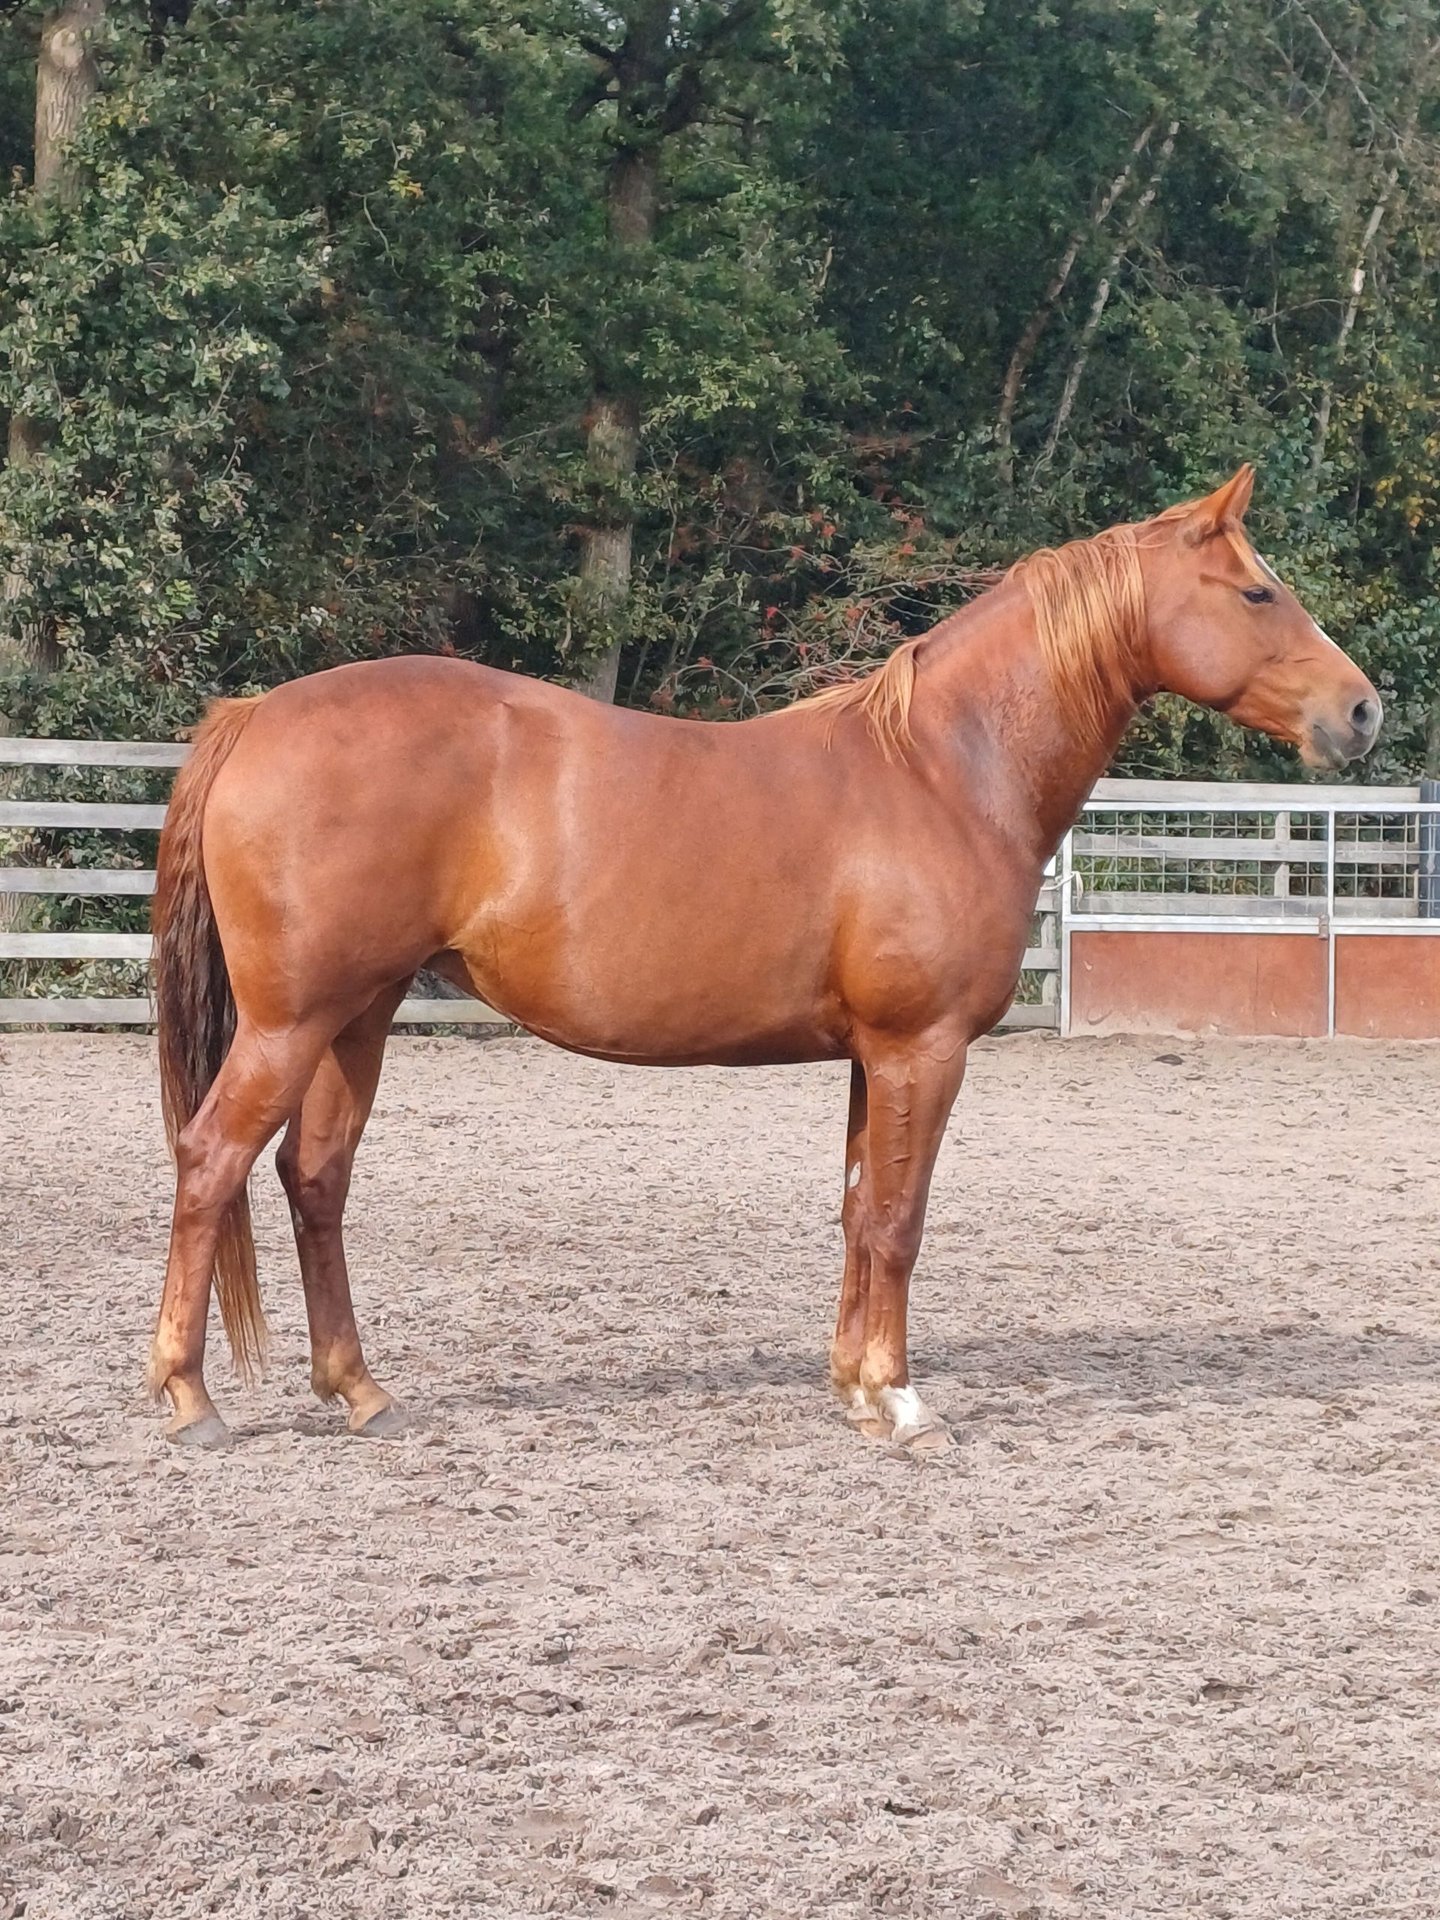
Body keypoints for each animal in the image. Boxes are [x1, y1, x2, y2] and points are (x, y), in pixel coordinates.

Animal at [146, 465, 1380, 1450]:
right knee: (210, 1162)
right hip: (292, 1021)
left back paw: (358, 1390)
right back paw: (190, 1401)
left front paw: (854, 1387)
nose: (1364, 712)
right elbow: (900, 1221)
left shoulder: (872, 1058)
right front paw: (903, 1404)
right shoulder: (922, 1050)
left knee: (315, 1178)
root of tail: (257, 715)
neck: (944, 772)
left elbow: (858, 1209)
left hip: (358, 1015)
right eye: (1258, 591)